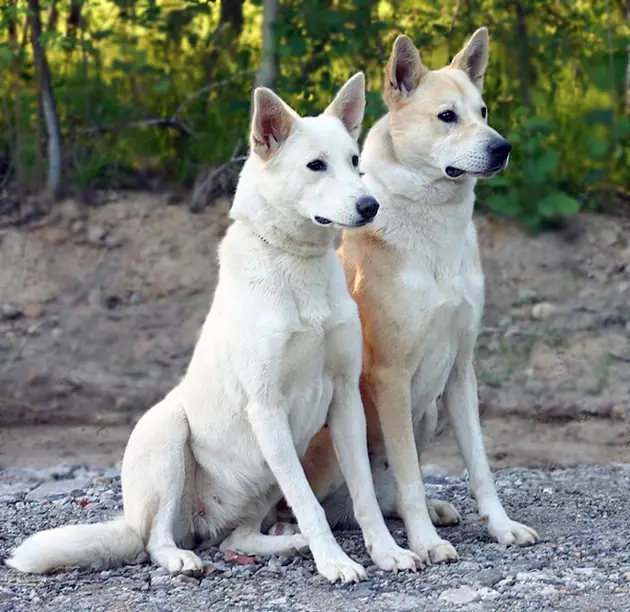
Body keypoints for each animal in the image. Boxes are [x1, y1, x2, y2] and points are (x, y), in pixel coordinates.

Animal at [6, 73, 420, 584]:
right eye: (316, 166)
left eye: (355, 161)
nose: (370, 206)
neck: (297, 266)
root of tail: (198, 524)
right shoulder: (267, 408)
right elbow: (310, 505)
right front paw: (336, 562)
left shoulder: (344, 400)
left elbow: (363, 496)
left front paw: (386, 553)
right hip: (169, 433)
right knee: (155, 539)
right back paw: (183, 559)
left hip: (267, 472)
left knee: (236, 539)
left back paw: (288, 543)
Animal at [278, 27, 540, 564]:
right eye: (447, 116)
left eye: (483, 111)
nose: (502, 148)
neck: (436, 225)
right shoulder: (391, 378)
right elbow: (410, 475)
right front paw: (425, 543)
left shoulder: (461, 371)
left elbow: (480, 468)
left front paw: (501, 527)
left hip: (430, 410)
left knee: (383, 493)